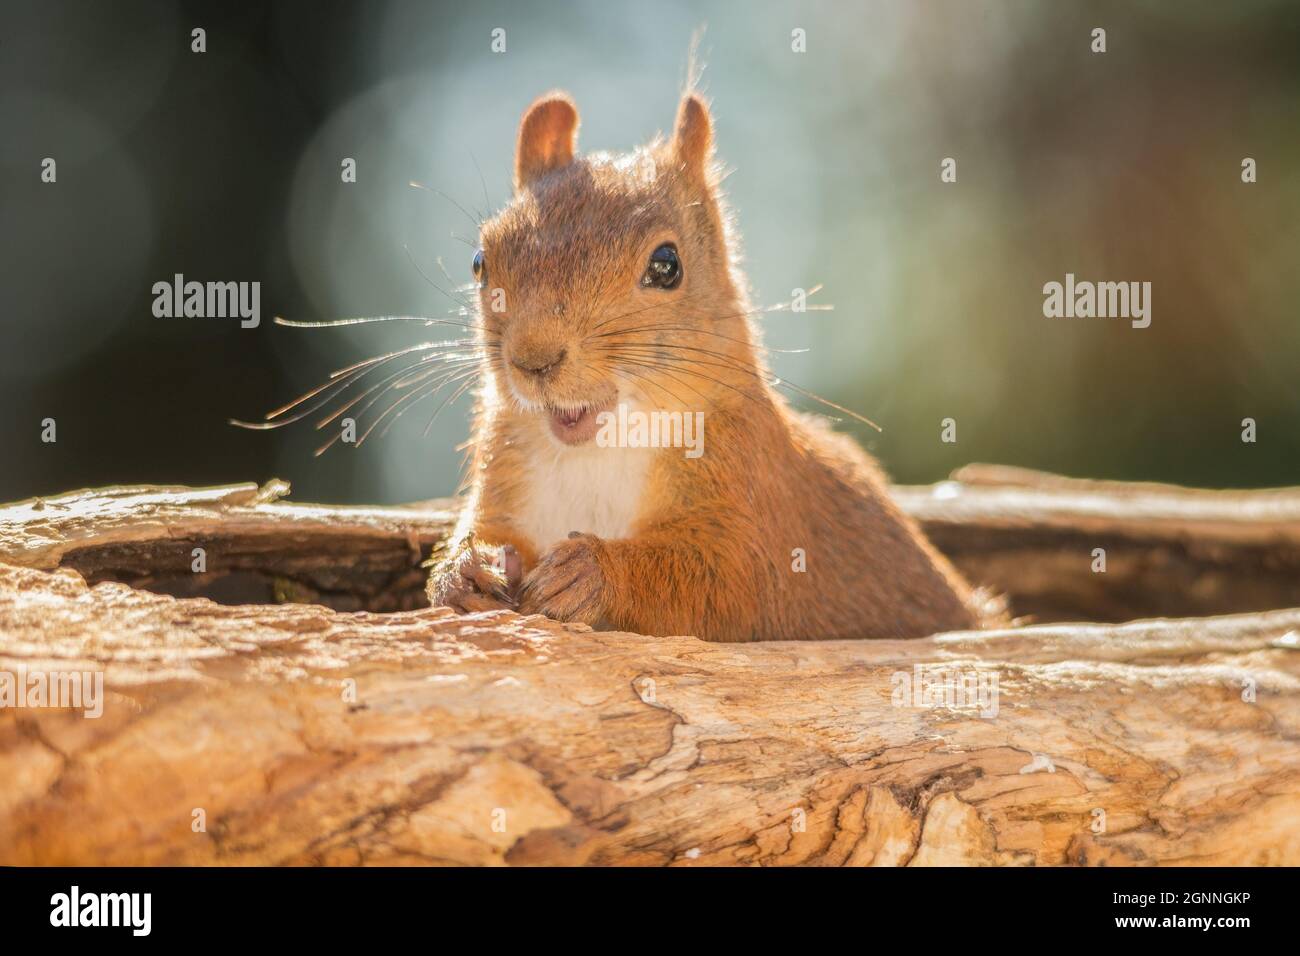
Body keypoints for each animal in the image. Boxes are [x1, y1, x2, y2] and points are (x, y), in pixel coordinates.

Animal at [426, 89, 983, 642]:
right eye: (480, 262)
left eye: (666, 265)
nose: (533, 358)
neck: (601, 448)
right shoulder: (504, 472)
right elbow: (487, 531)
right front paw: (463, 570)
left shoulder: (758, 509)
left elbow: (725, 583)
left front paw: (591, 572)